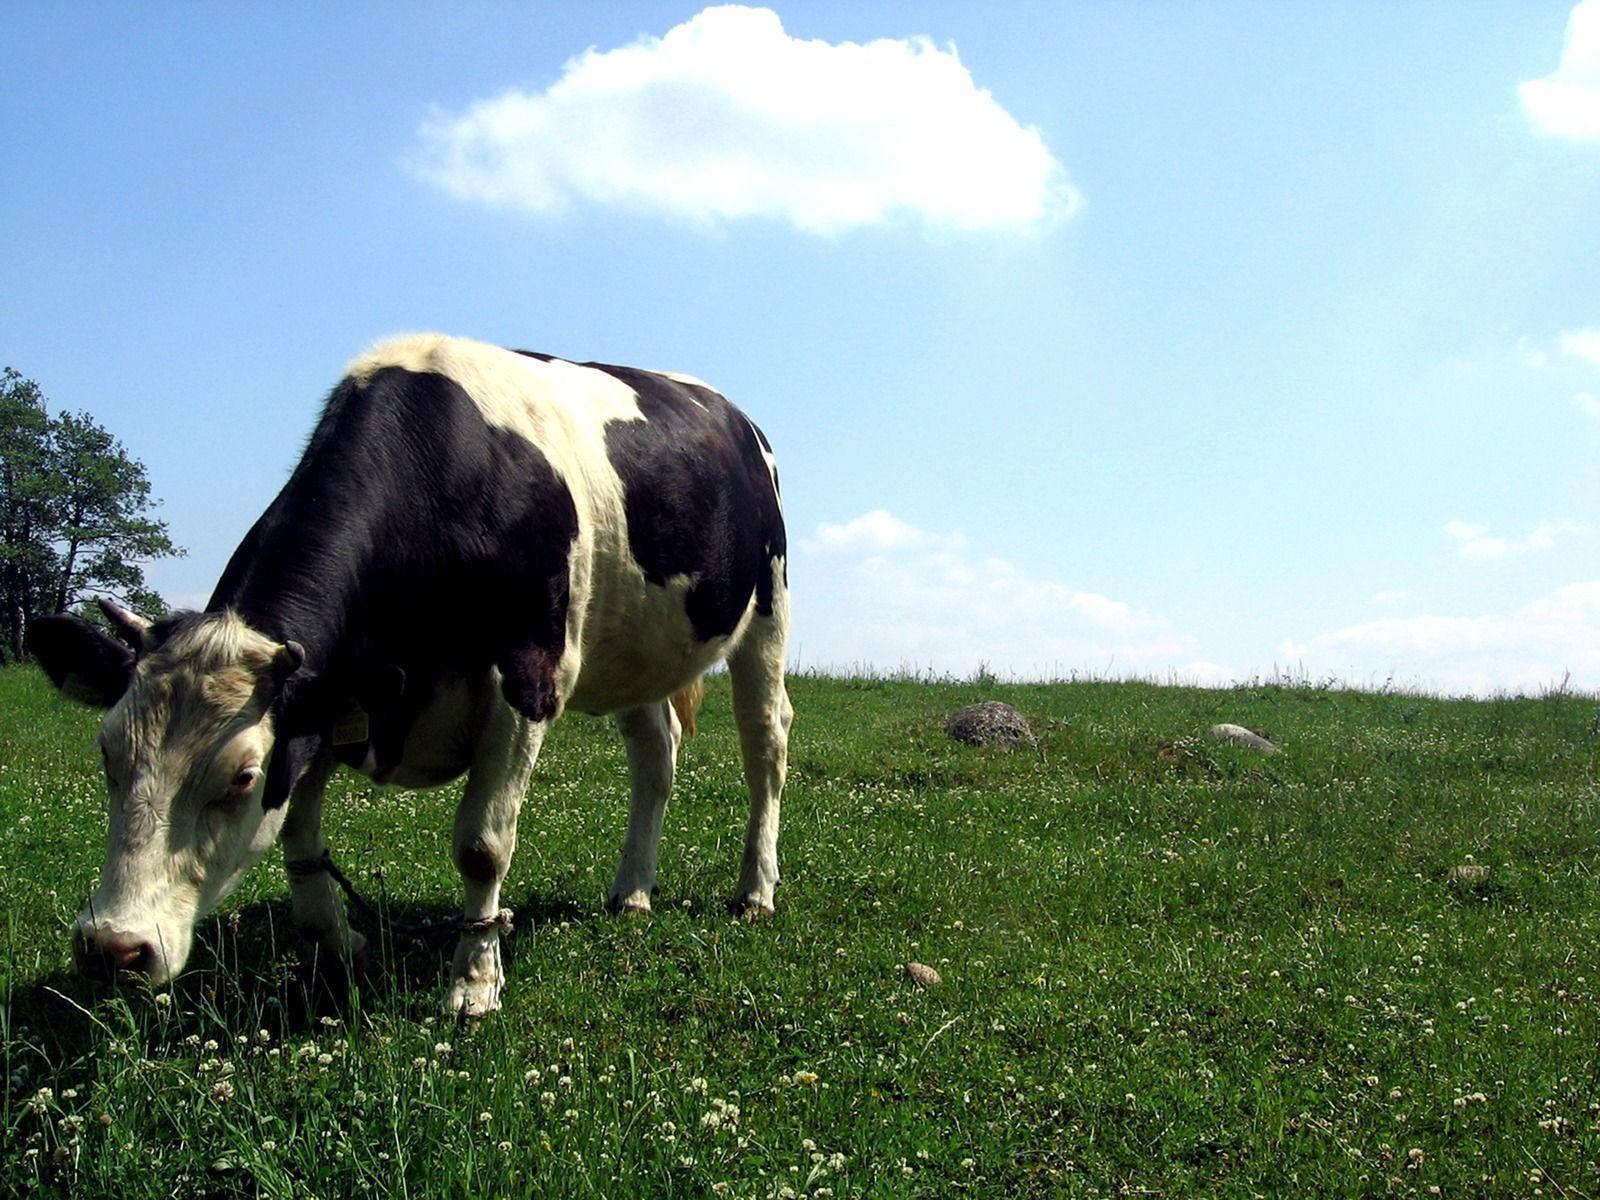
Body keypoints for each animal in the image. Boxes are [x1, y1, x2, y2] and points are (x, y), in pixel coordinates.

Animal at [27, 333, 792, 1016]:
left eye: (241, 777)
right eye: (107, 754)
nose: (113, 948)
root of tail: (734, 413)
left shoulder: (528, 676)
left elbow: (482, 846)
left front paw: (474, 983)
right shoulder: (338, 695)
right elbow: (299, 833)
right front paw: (339, 946)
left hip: (767, 608)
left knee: (766, 745)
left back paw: (755, 891)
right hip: (634, 647)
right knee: (656, 754)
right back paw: (631, 890)